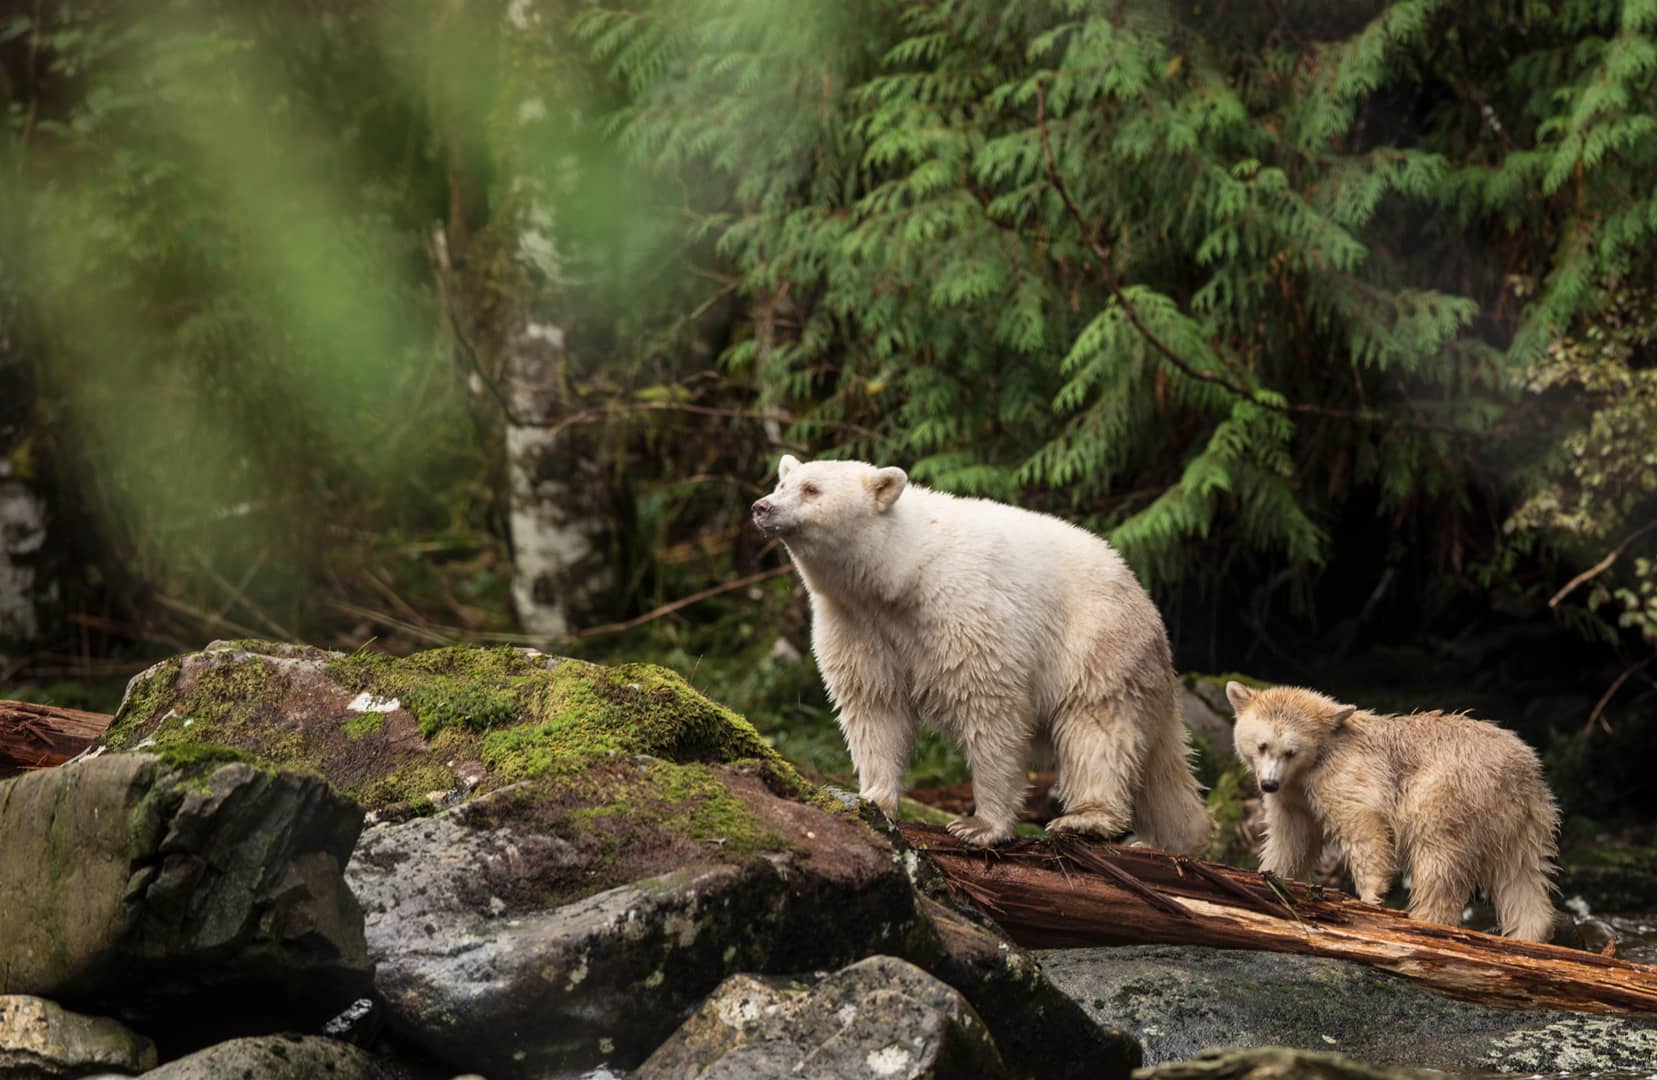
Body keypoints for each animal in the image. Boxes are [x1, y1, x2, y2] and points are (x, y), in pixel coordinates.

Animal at [750, 453, 1212, 851]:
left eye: (811, 489)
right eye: (782, 482)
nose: (761, 506)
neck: (897, 574)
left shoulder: (961, 608)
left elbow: (989, 707)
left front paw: (980, 825)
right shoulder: (856, 624)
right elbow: (875, 705)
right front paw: (872, 798)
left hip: (1099, 640)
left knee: (1096, 727)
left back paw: (1086, 818)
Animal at [1225, 682, 1559, 942]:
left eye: (1290, 751)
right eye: (1262, 745)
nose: (1268, 783)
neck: (1322, 752)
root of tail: (1520, 771)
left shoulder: (1344, 772)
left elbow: (1361, 822)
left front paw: (1372, 894)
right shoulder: (1293, 797)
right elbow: (1291, 840)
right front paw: (1271, 878)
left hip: (1451, 792)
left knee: (1439, 858)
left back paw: (1425, 920)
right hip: (1524, 818)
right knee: (1520, 872)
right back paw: (1527, 934)